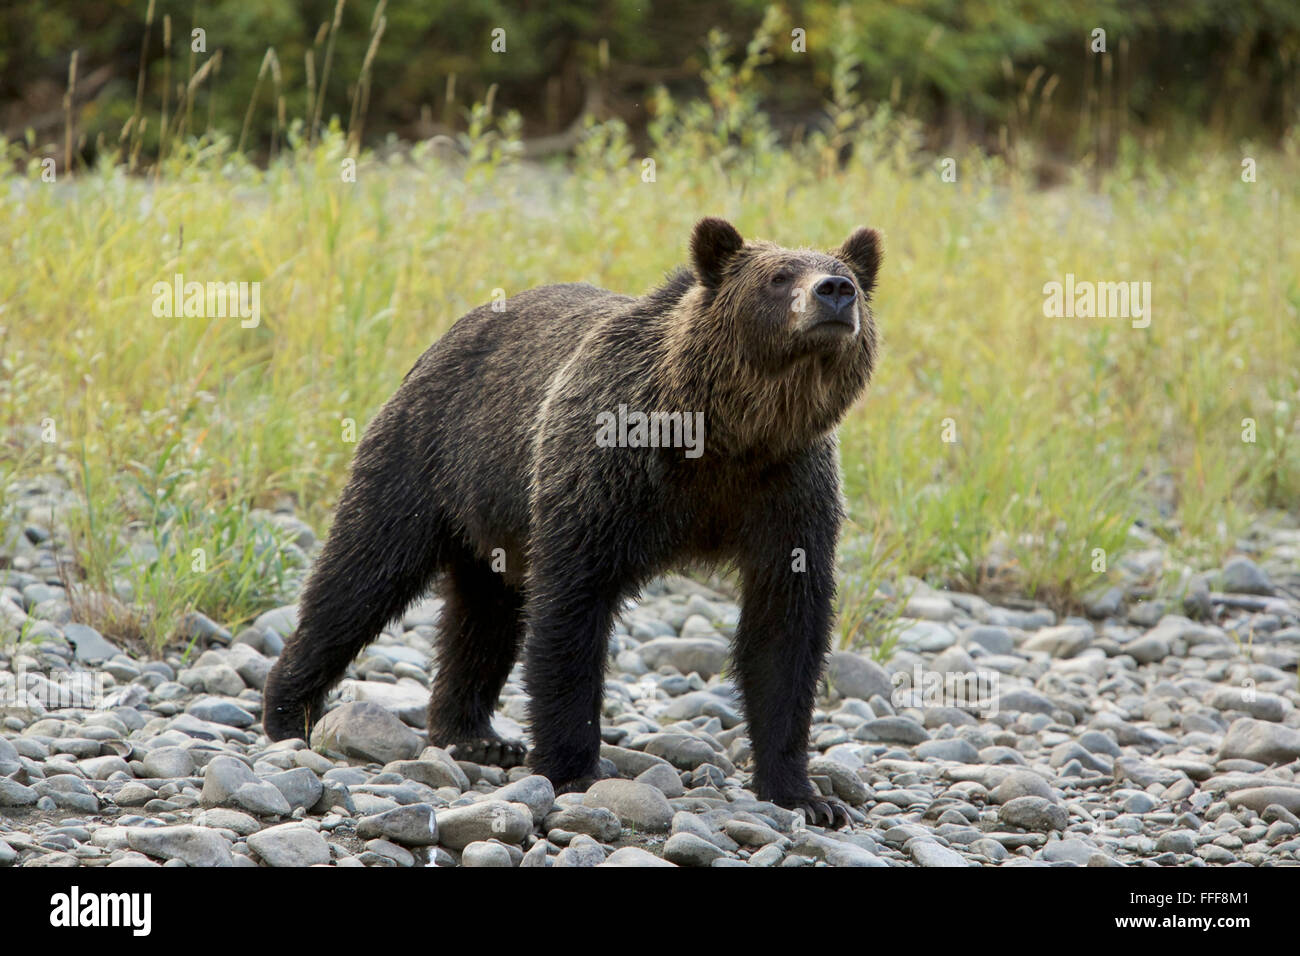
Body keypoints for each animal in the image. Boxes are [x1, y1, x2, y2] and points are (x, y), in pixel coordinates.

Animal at [262, 217, 882, 827]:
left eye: (845, 273)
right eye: (778, 276)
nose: (834, 292)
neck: (728, 435)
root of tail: (450, 334)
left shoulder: (787, 495)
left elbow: (784, 632)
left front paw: (805, 793)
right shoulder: (609, 471)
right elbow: (571, 608)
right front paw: (573, 767)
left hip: (493, 522)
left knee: (483, 617)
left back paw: (474, 735)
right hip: (429, 453)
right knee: (361, 574)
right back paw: (289, 709)